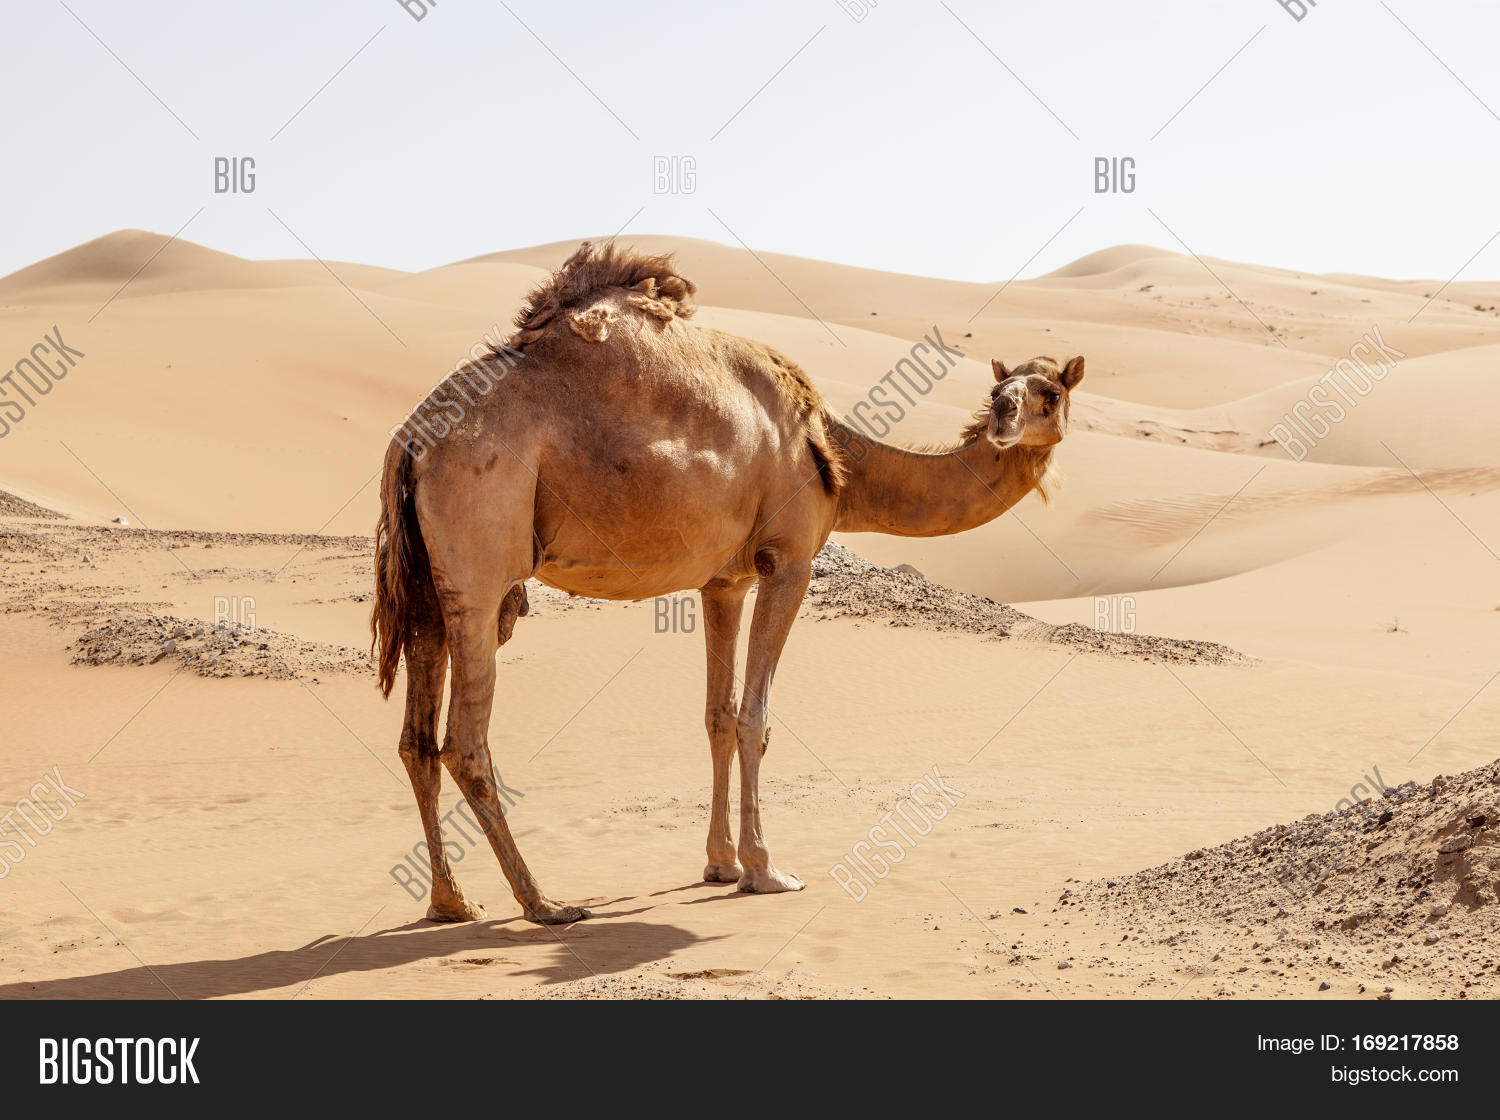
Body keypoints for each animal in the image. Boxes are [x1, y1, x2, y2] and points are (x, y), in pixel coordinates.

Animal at [372, 241, 1084, 924]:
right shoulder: (787, 561)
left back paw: (452, 902)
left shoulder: (725, 581)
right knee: (466, 743)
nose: (1002, 417)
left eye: (1047, 392)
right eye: (1010, 390)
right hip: (480, 566)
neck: (838, 456)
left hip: (430, 587)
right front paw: (765, 870)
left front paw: (719, 863)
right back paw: (543, 903)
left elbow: (718, 714)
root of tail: (410, 443)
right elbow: (755, 719)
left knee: (416, 740)